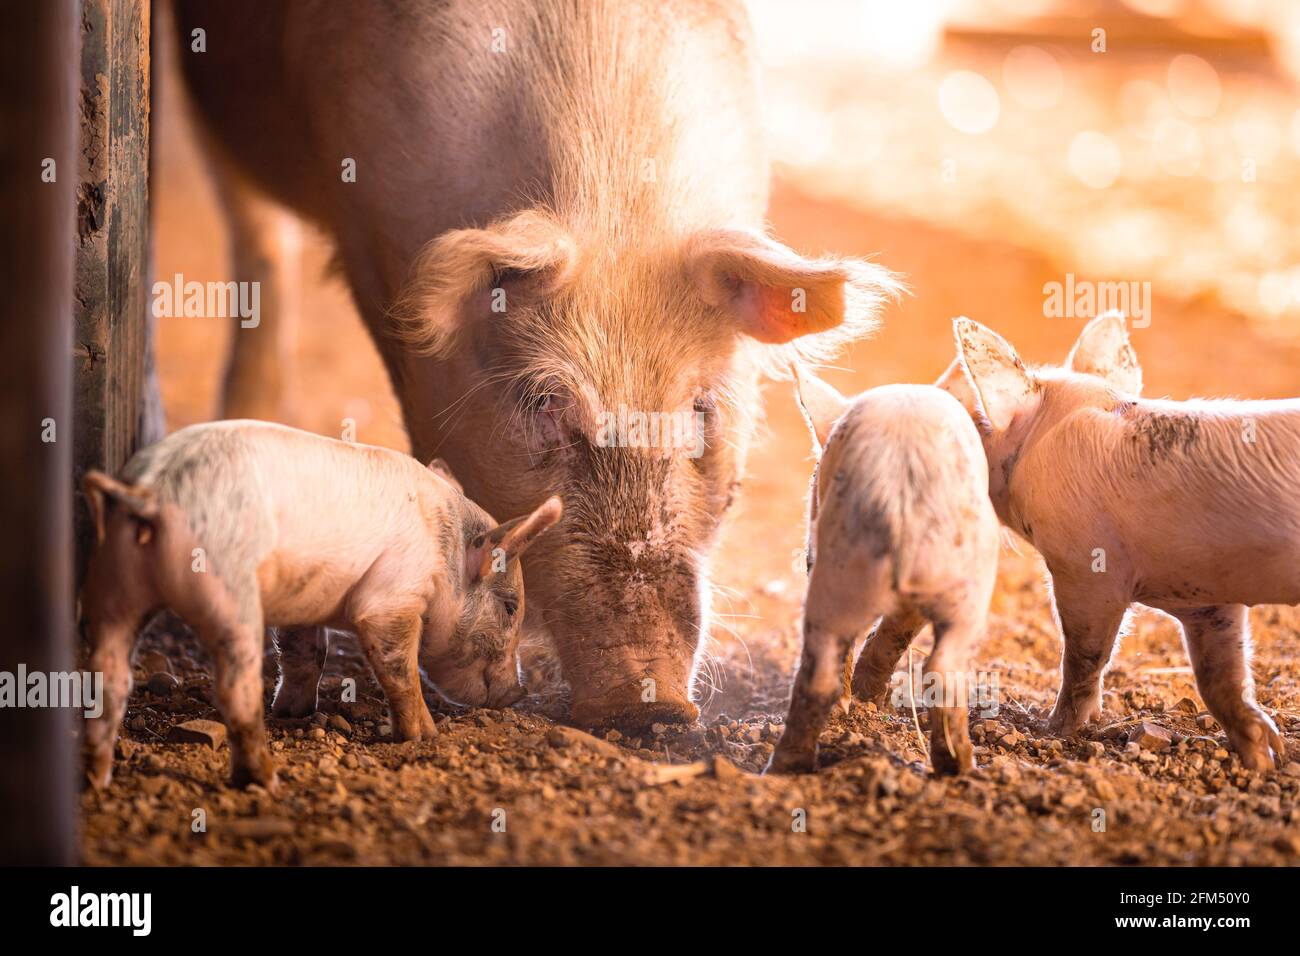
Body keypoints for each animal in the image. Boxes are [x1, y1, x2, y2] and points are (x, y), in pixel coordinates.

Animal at [80, 420, 562, 790]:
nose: (518, 693)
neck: (446, 557)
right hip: (226, 585)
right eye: (510, 607)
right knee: (234, 687)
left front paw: (293, 713)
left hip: (111, 576)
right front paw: (424, 736)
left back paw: (96, 780)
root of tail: (152, 492)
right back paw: (266, 781)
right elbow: (400, 668)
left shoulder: (305, 597)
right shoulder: (390, 596)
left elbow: (307, 651)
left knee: (108, 674)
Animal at [946, 313, 1291, 769]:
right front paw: (1265, 756)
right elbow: (1220, 675)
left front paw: (1053, 730)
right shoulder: (1209, 600)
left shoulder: (1088, 568)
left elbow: (1083, 655)